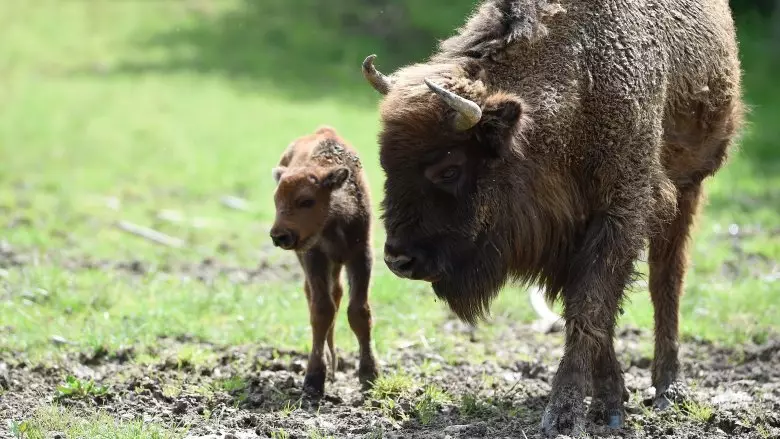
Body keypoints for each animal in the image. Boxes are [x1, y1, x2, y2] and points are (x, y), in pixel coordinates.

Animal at [270, 125, 380, 398]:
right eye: (276, 200)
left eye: (306, 201)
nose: (279, 235)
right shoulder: (314, 257)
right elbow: (321, 310)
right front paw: (313, 380)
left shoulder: (360, 256)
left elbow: (358, 311)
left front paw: (369, 375)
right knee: (317, 297)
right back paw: (330, 368)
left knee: (338, 294)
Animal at [362, 0, 748, 434]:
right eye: (386, 164)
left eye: (449, 170)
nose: (398, 259)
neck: (581, 82)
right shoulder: (565, 232)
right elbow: (590, 309)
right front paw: (608, 402)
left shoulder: (622, 210)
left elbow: (589, 305)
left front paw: (564, 415)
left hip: (689, 187)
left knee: (667, 281)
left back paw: (669, 389)